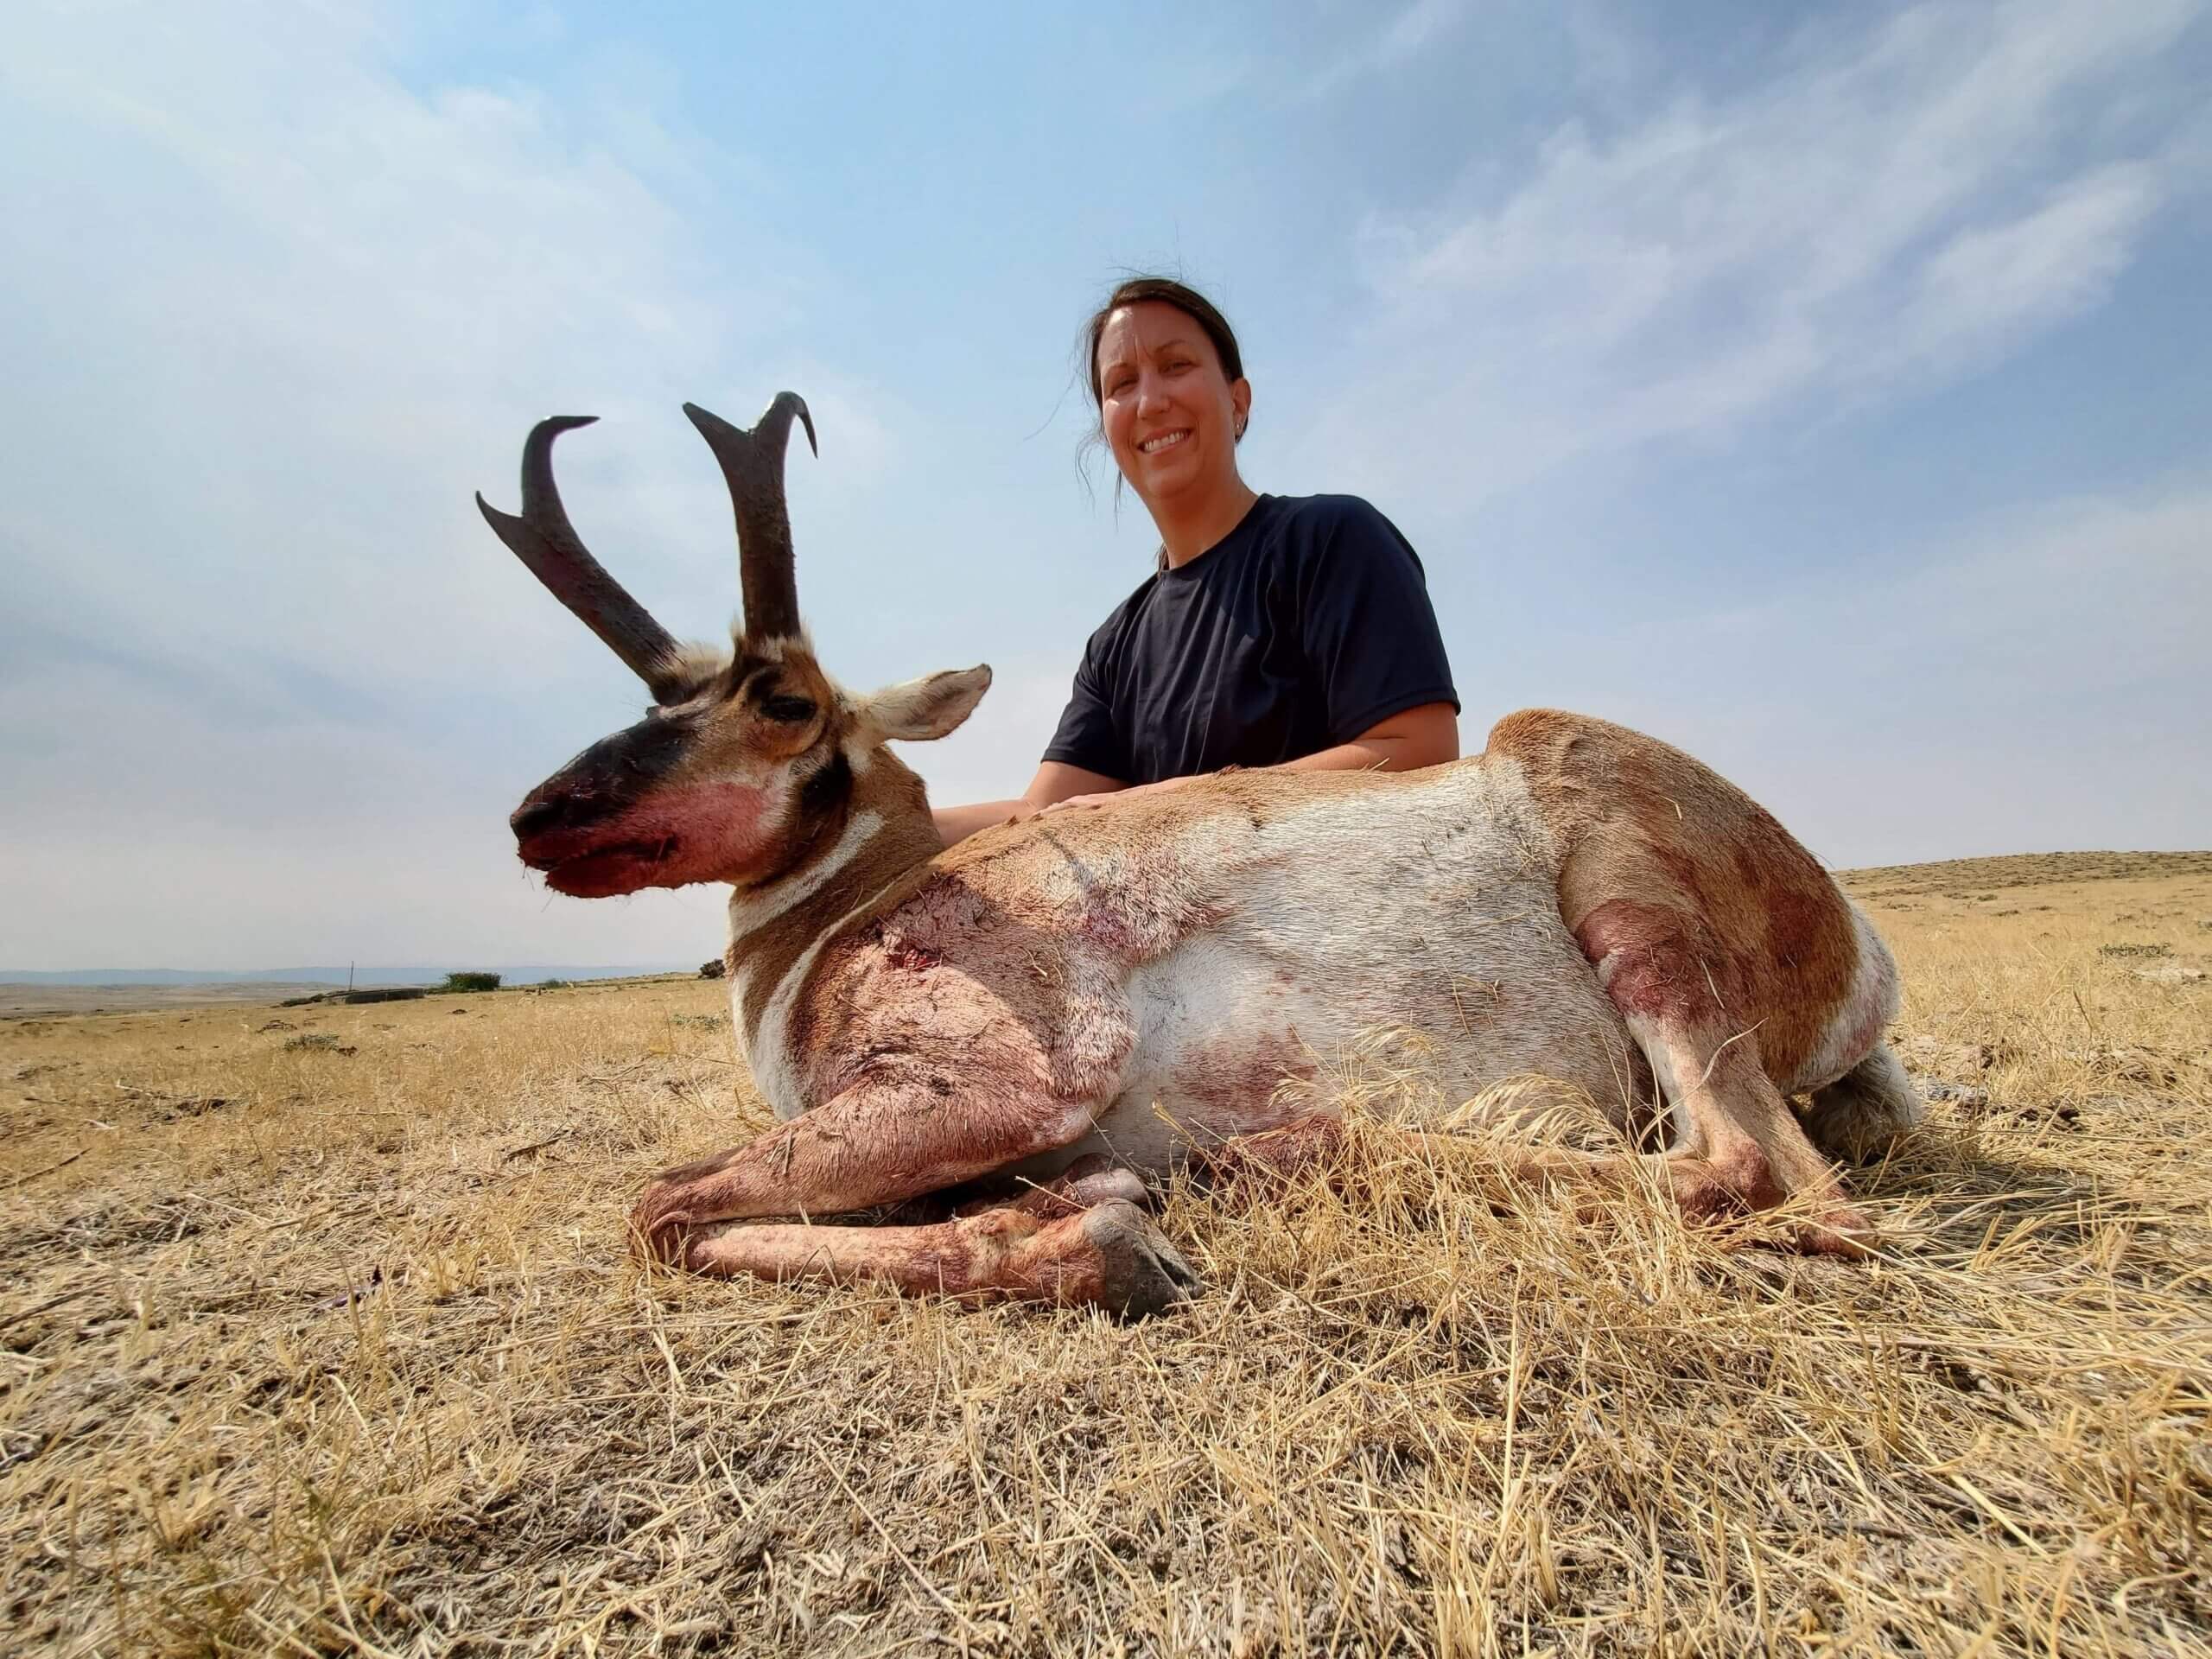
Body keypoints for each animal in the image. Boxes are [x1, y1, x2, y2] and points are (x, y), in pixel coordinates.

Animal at [479, 395, 1922, 1315]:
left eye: (780, 701)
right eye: (661, 698)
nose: (536, 816)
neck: (853, 913)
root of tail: (1862, 954)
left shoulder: (1001, 1085)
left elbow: (659, 1209)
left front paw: (1097, 1238)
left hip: (1627, 900)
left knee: (1771, 1181)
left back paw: (1260, 1161)